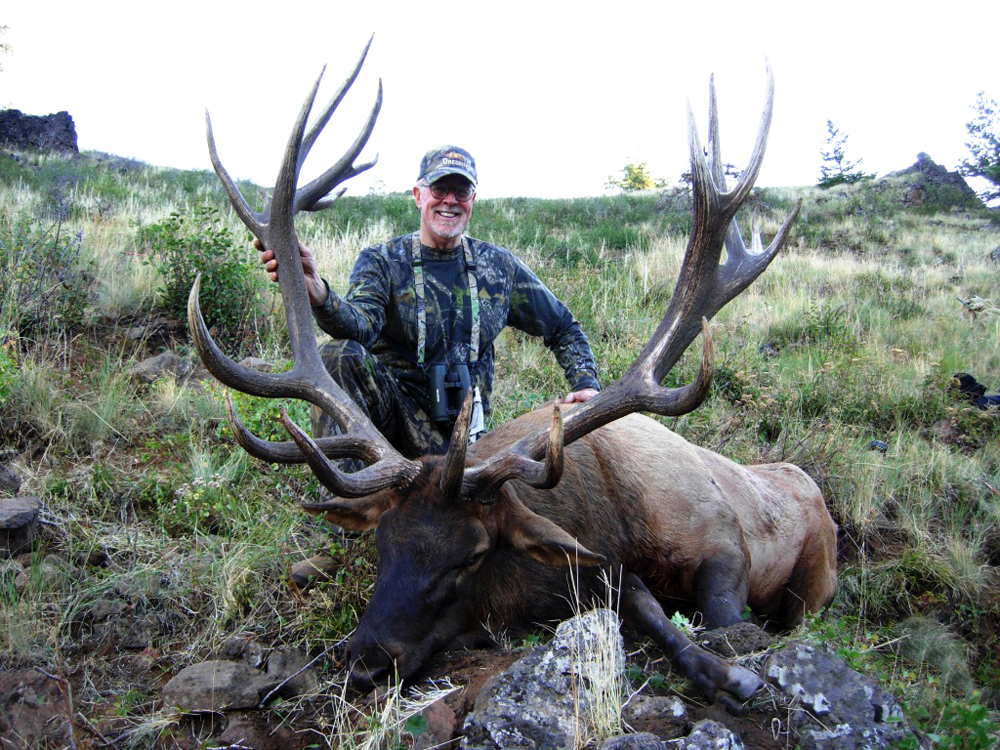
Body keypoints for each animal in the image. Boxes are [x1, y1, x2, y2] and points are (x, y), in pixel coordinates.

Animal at [188, 39, 838, 708]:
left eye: (471, 557)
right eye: (382, 543)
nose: (365, 661)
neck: (609, 516)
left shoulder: (722, 544)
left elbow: (714, 620)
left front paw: (734, 673)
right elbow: (638, 601)